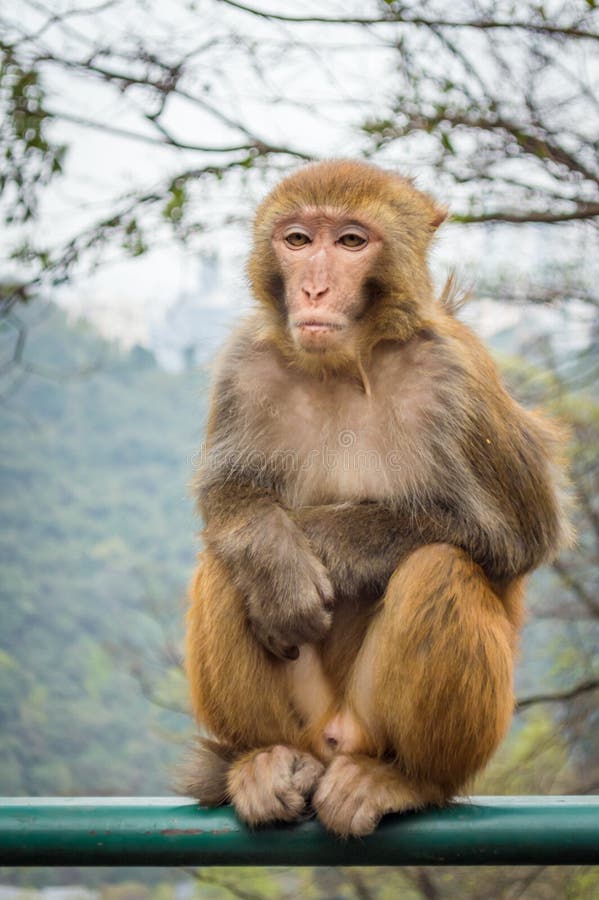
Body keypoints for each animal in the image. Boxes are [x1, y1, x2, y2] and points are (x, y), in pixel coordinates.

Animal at [182, 159, 572, 837]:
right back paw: (261, 759)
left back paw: (405, 780)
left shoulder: (458, 381)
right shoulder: (244, 368)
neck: (346, 363)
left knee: (441, 567)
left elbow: (520, 534)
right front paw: (278, 560)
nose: (313, 290)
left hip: (397, 729)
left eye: (350, 242)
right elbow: (231, 498)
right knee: (225, 562)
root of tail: (335, 736)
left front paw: (327, 540)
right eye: (298, 240)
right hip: (307, 720)